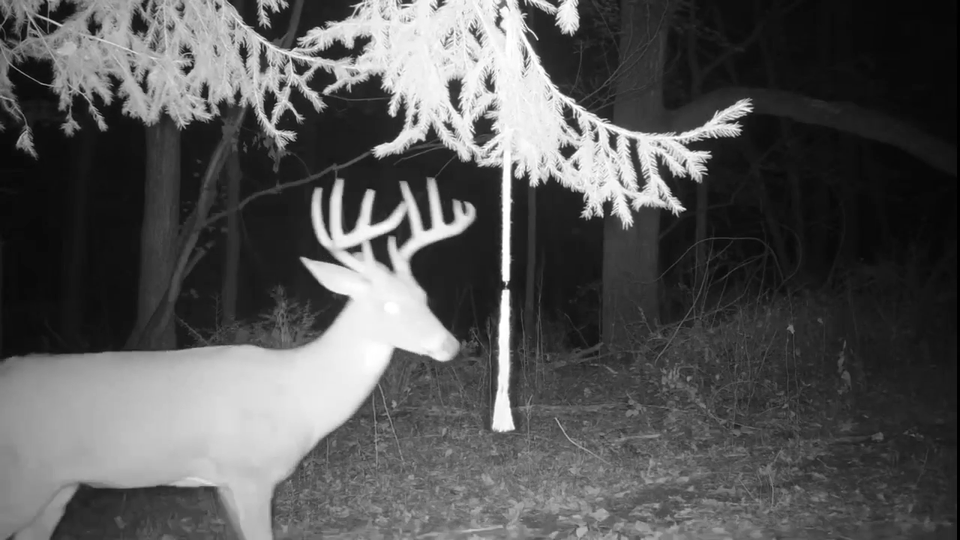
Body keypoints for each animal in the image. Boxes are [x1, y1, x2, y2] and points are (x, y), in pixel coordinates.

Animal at [0, 176, 476, 540]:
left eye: (424, 296)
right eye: (389, 305)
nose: (450, 346)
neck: (300, 395)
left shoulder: (225, 481)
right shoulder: (250, 474)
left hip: (57, 488)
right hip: (23, 481)